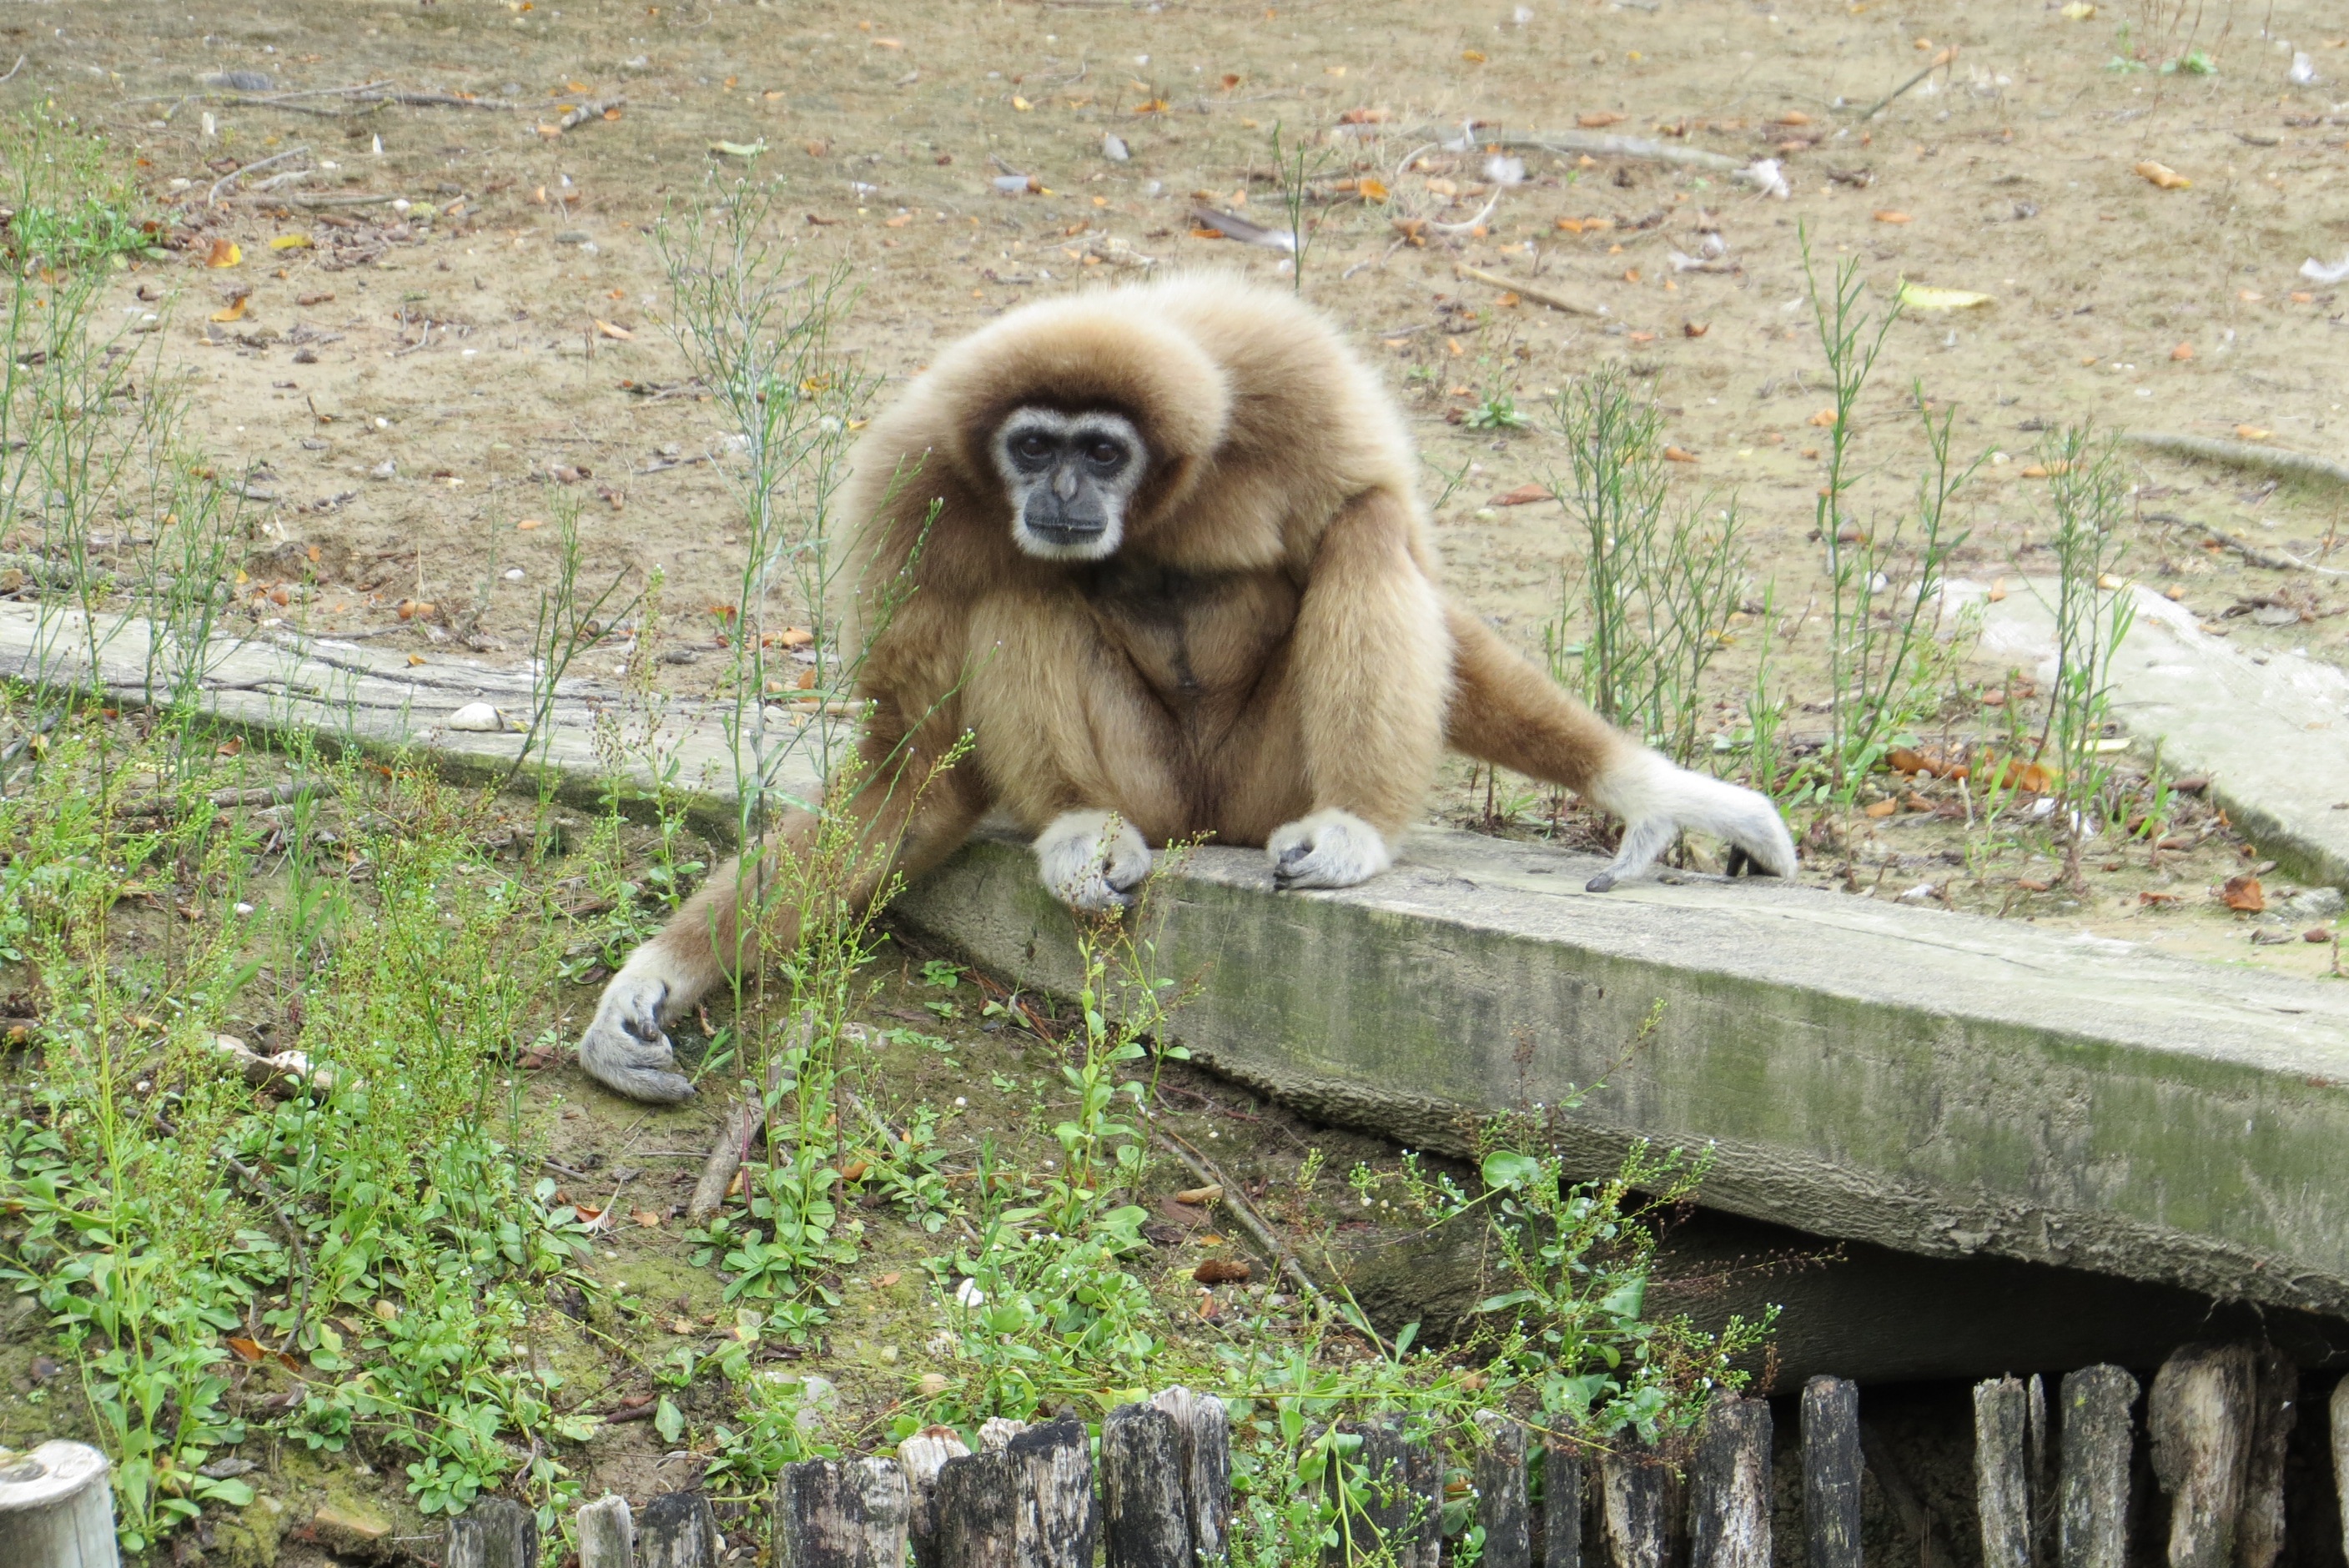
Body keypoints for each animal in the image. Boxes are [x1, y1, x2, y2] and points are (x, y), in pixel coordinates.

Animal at [577, 274, 1796, 1103]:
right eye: (1033, 447)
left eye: (1102, 453)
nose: (1065, 492)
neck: (1158, 506)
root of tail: (1204, 817)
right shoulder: (909, 483)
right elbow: (910, 766)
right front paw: (656, 978)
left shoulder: (1296, 385)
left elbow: (1397, 554)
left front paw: (1656, 789)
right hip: (1158, 786)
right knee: (1017, 584)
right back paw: (1084, 831)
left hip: (1264, 782)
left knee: (1365, 527)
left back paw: (1353, 828)